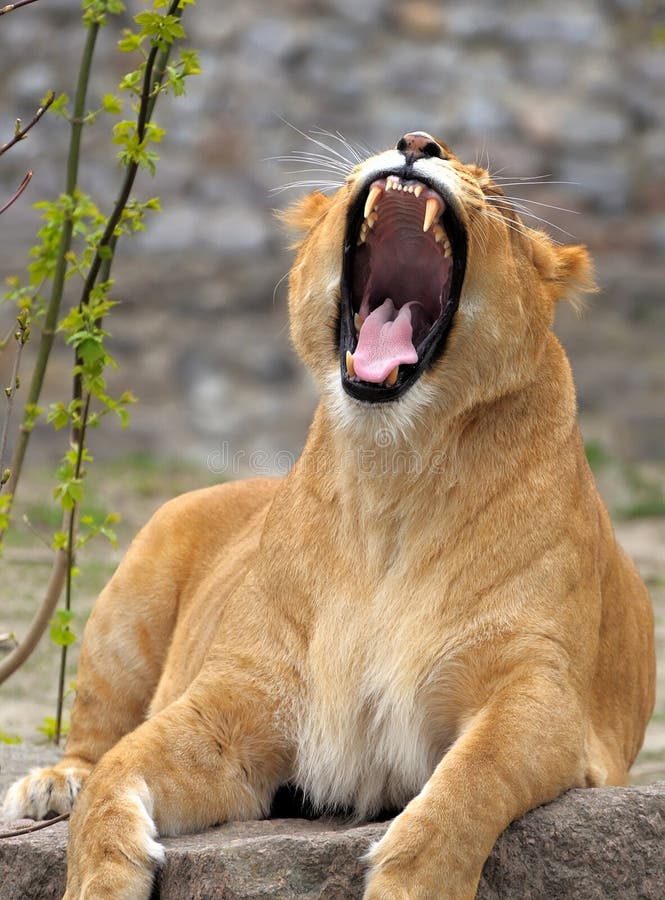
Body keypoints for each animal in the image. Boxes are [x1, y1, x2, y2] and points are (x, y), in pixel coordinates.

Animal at [3, 132, 655, 899]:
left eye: (500, 200)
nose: (417, 142)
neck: (390, 472)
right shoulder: (232, 702)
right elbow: (114, 776)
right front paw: (98, 872)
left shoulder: (538, 691)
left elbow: (466, 787)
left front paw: (410, 885)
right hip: (126, 600)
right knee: (92, 738)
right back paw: (52, 784)